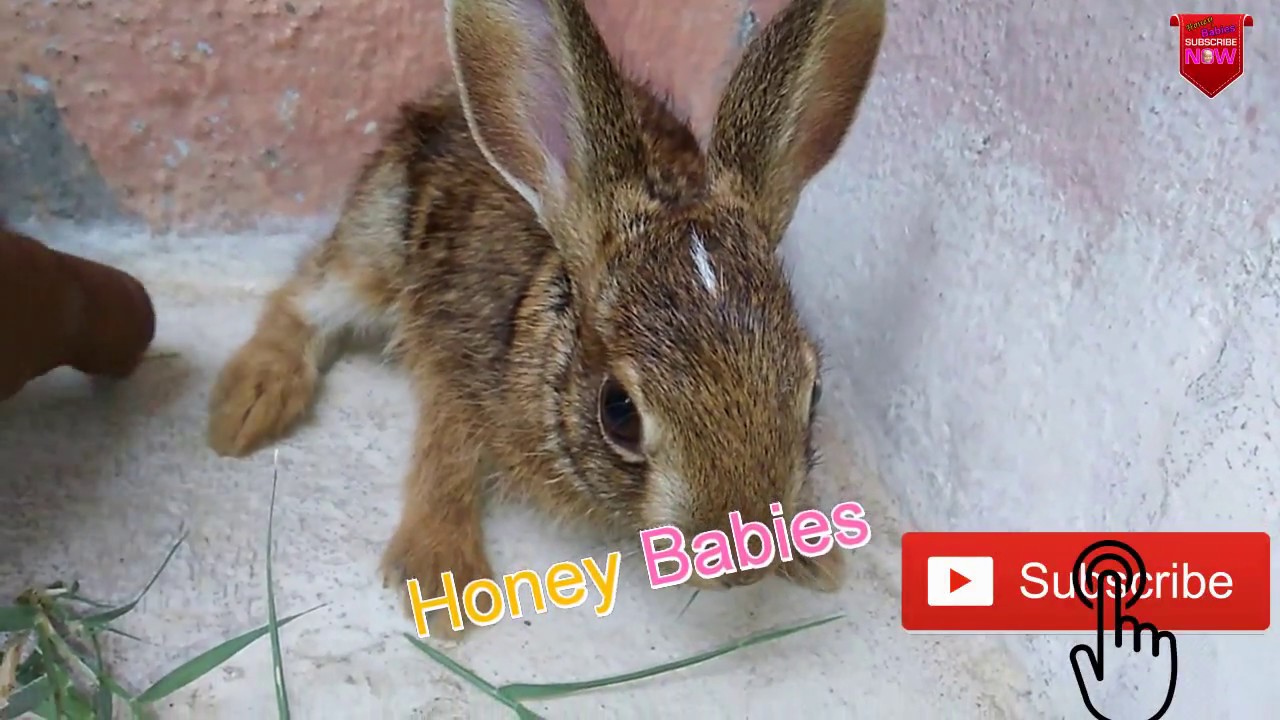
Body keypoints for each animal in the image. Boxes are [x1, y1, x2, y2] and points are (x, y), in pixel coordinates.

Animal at [207, 0, 886, 638]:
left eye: (812, 391)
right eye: (619, 413)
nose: (747, 563)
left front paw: (816, 558)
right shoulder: (453, 357)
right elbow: (443, 453)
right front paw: (443, 577)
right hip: (377, 242)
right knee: (304, 295)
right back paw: (245, 409)